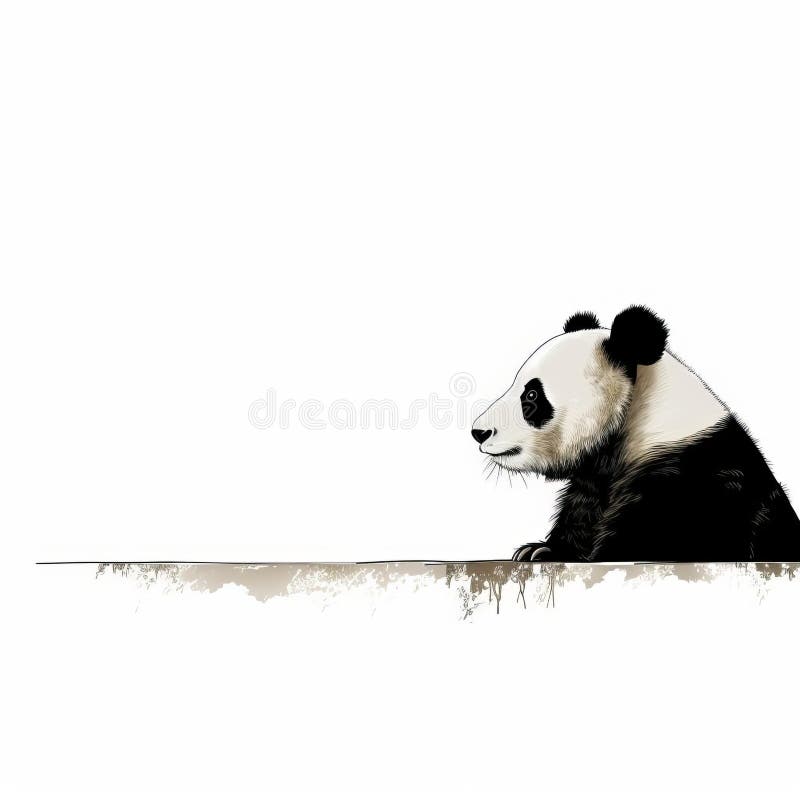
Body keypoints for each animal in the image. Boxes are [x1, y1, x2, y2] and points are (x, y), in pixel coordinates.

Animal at [471, 305, 800, 562]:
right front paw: (542, 551)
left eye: (532, 395)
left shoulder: (695, 480)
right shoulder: (597, 476)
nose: (479, 432)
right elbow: (583, 510)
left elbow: (660, 537)